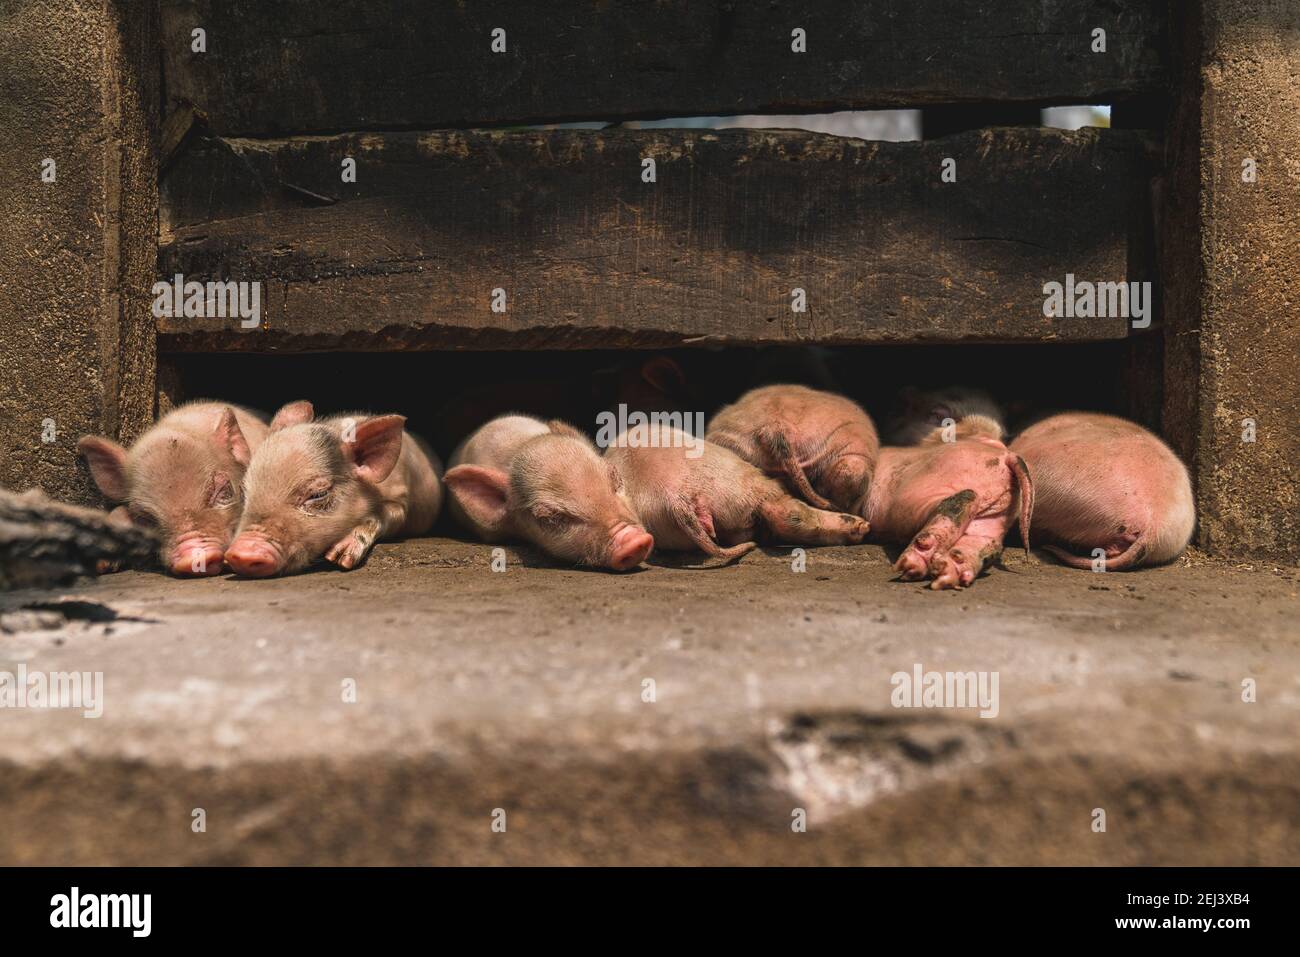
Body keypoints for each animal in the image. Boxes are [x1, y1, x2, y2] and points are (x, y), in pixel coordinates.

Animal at [224, 401, 442, 576]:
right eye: (244, 491)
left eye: (318, 494)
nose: (240, 554)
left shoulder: (401, 498)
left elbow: (384, 516)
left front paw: (339, 559)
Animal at [863, 431, 1034, 589]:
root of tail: (1007, 455)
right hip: (995, 513)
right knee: (988, 541)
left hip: (912, 495)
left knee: (966, 497)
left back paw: (909, 566)